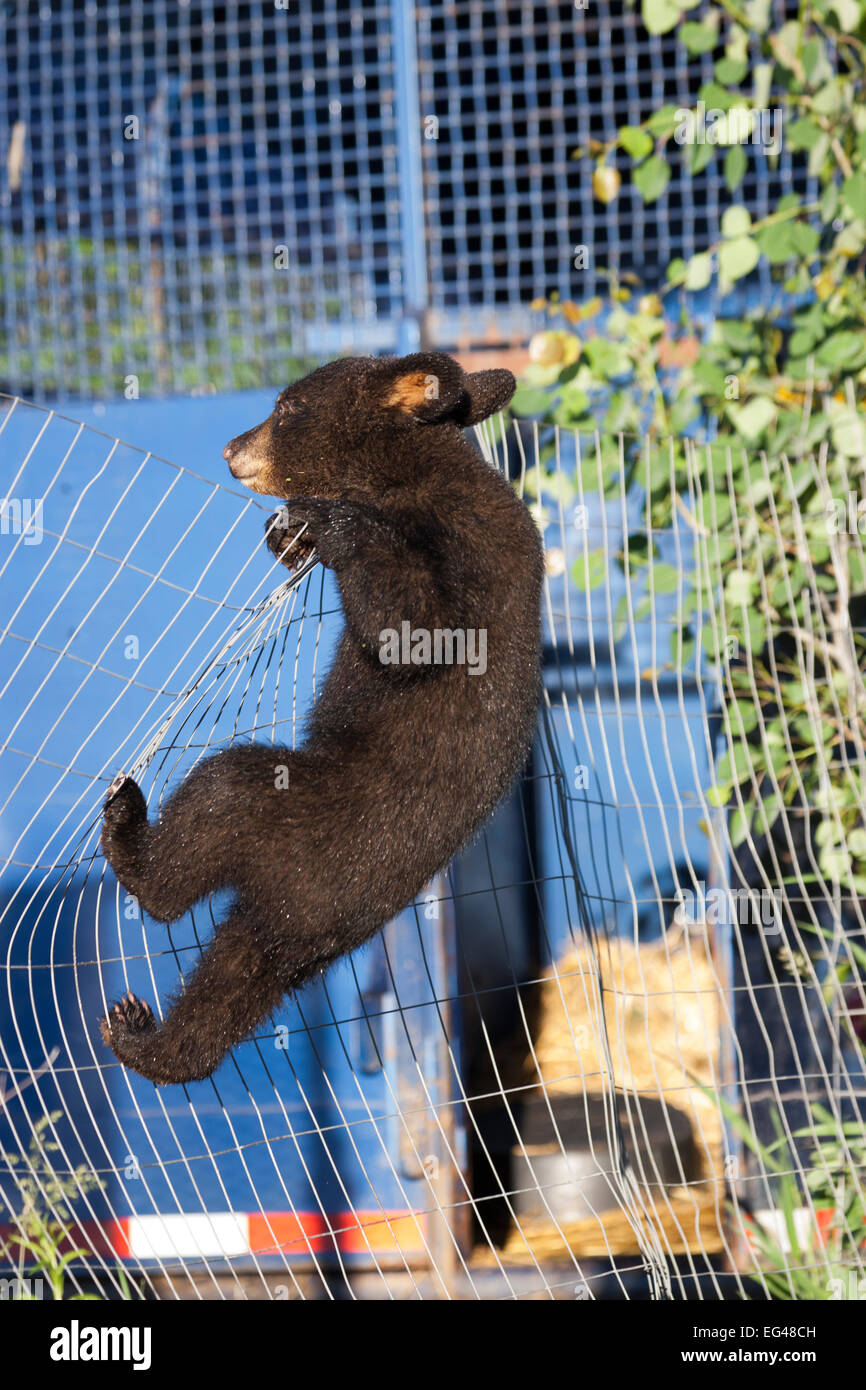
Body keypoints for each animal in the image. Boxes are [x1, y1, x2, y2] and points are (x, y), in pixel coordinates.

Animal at [99, 351, 544, 1085]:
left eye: (284, 410)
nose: (230, 449)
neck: (406, 472)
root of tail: (313, 908)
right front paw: (284, 535)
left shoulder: (461, 546)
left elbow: (416, 630)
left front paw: (326, 522)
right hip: (300, 934)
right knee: (230, 989)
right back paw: (142, 1038)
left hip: (304, 823)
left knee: (223, 797)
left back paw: (132, 841)